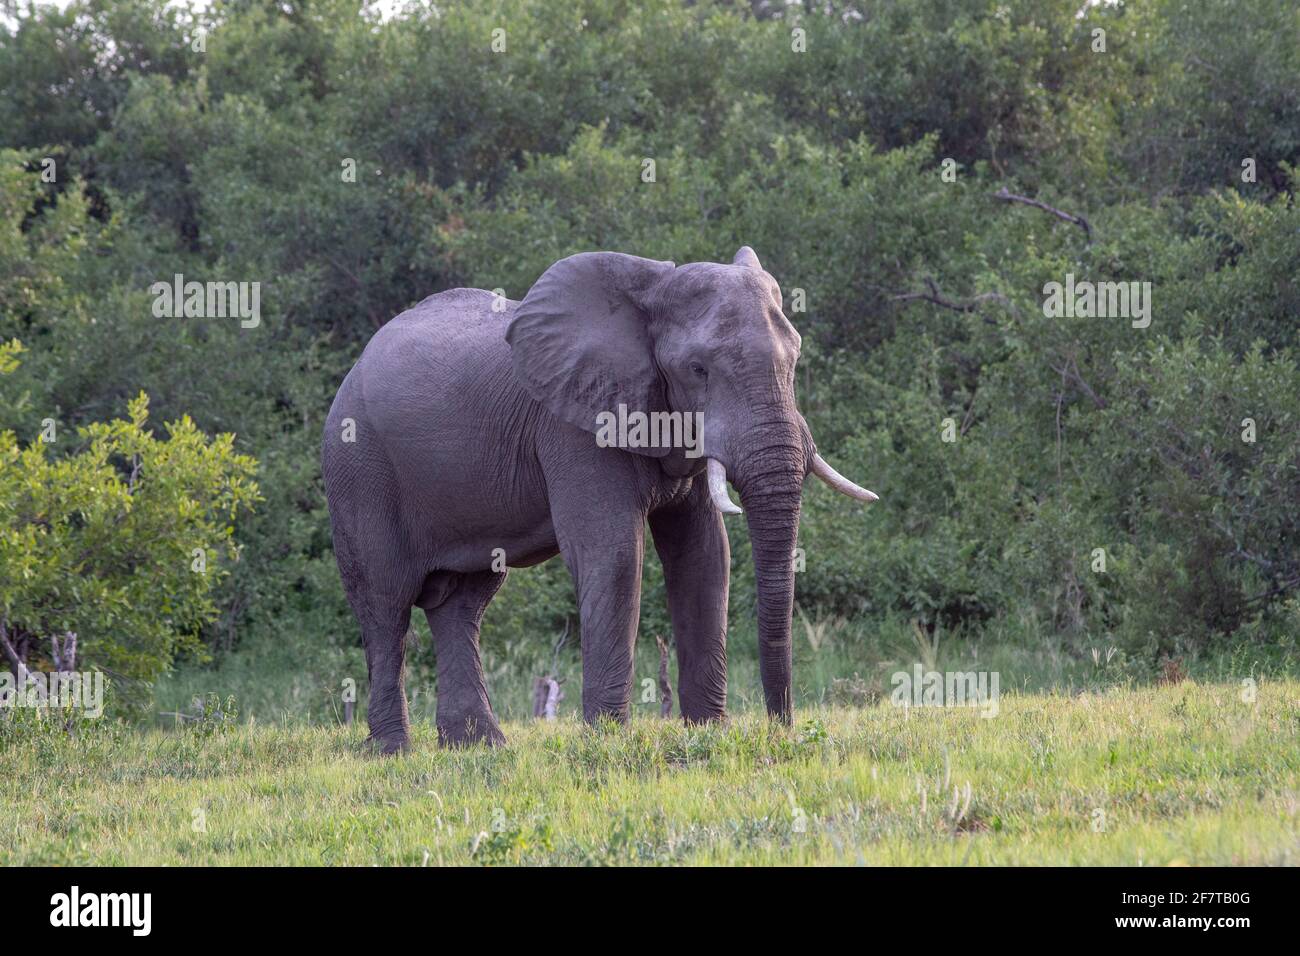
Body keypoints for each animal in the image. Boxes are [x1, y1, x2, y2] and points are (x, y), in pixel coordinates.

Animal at [322, 247, 876, 753]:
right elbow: (614, 555)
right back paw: (394, 751)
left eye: (795, 358)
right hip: (358, 470)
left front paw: (708, 735)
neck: (650, 290)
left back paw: (480, 748)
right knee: (385, 605)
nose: (782, 728)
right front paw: (607, 740)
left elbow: (704, 556)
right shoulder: (573, 425)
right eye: (698, 368)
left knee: (461, 604)